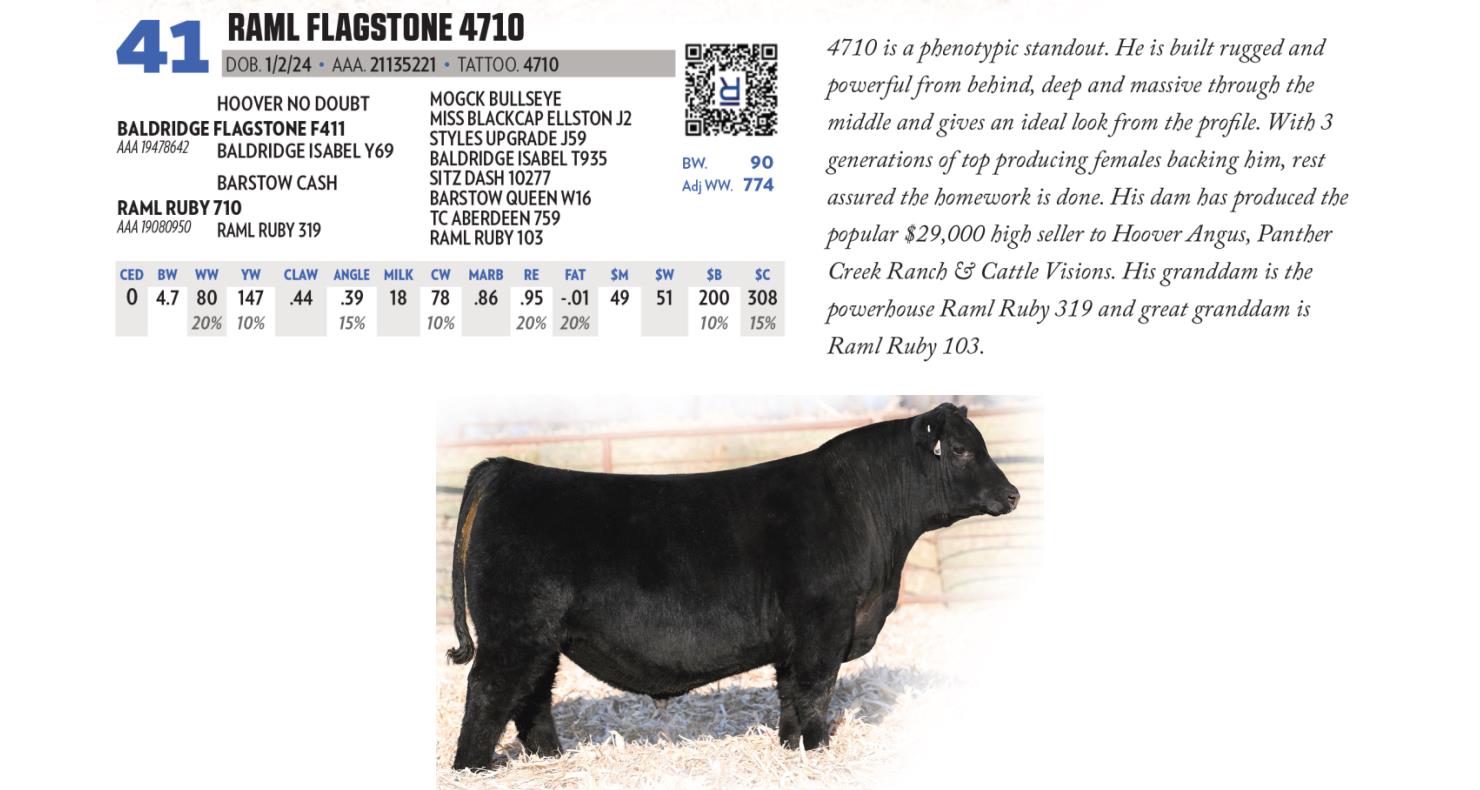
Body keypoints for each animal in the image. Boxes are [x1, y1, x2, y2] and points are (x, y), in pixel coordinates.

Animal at [446, 403, 1020, 770]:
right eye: (962, 450)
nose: (1013, 494)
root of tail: (506, 468)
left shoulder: (796, 638)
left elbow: (790, 694)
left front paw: (792, 748)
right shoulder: (823, 625)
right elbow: (817, 691)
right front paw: (818, 749)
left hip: (543, 639)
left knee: (532, 698)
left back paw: (549, 758)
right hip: (513, 633)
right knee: (489, 691)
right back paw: (474, 768)